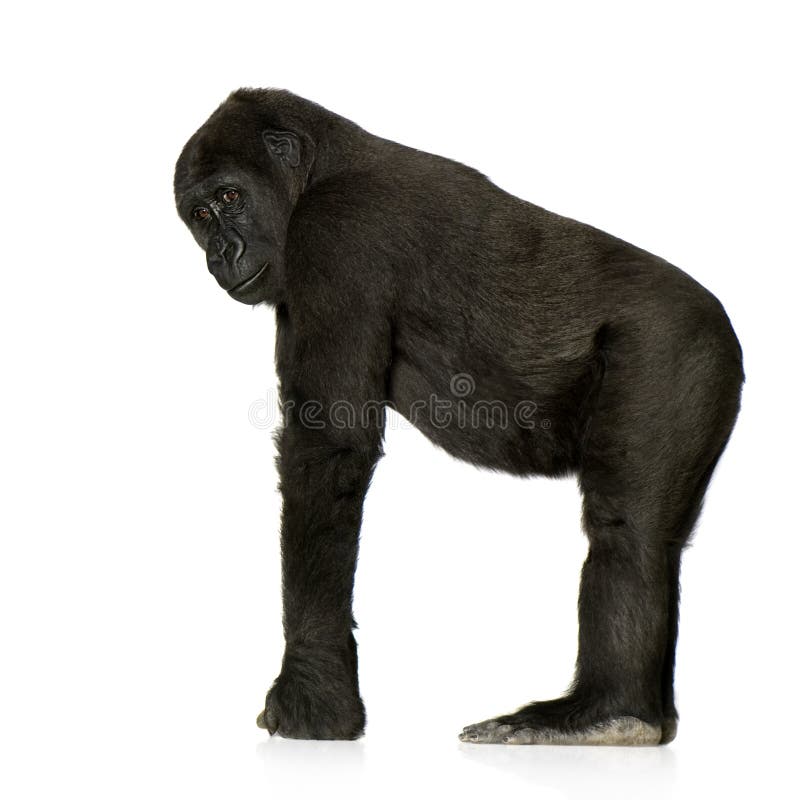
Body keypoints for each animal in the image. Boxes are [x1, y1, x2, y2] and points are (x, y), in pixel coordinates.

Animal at [174, 89, 743, 745]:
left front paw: (313, 695)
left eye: (231, 198)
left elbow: (331, 448)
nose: (222, 252)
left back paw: (608, 710)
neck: (318, 169)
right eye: (200, 214)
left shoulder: (335, 237)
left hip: (681, 348)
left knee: (629, 530)